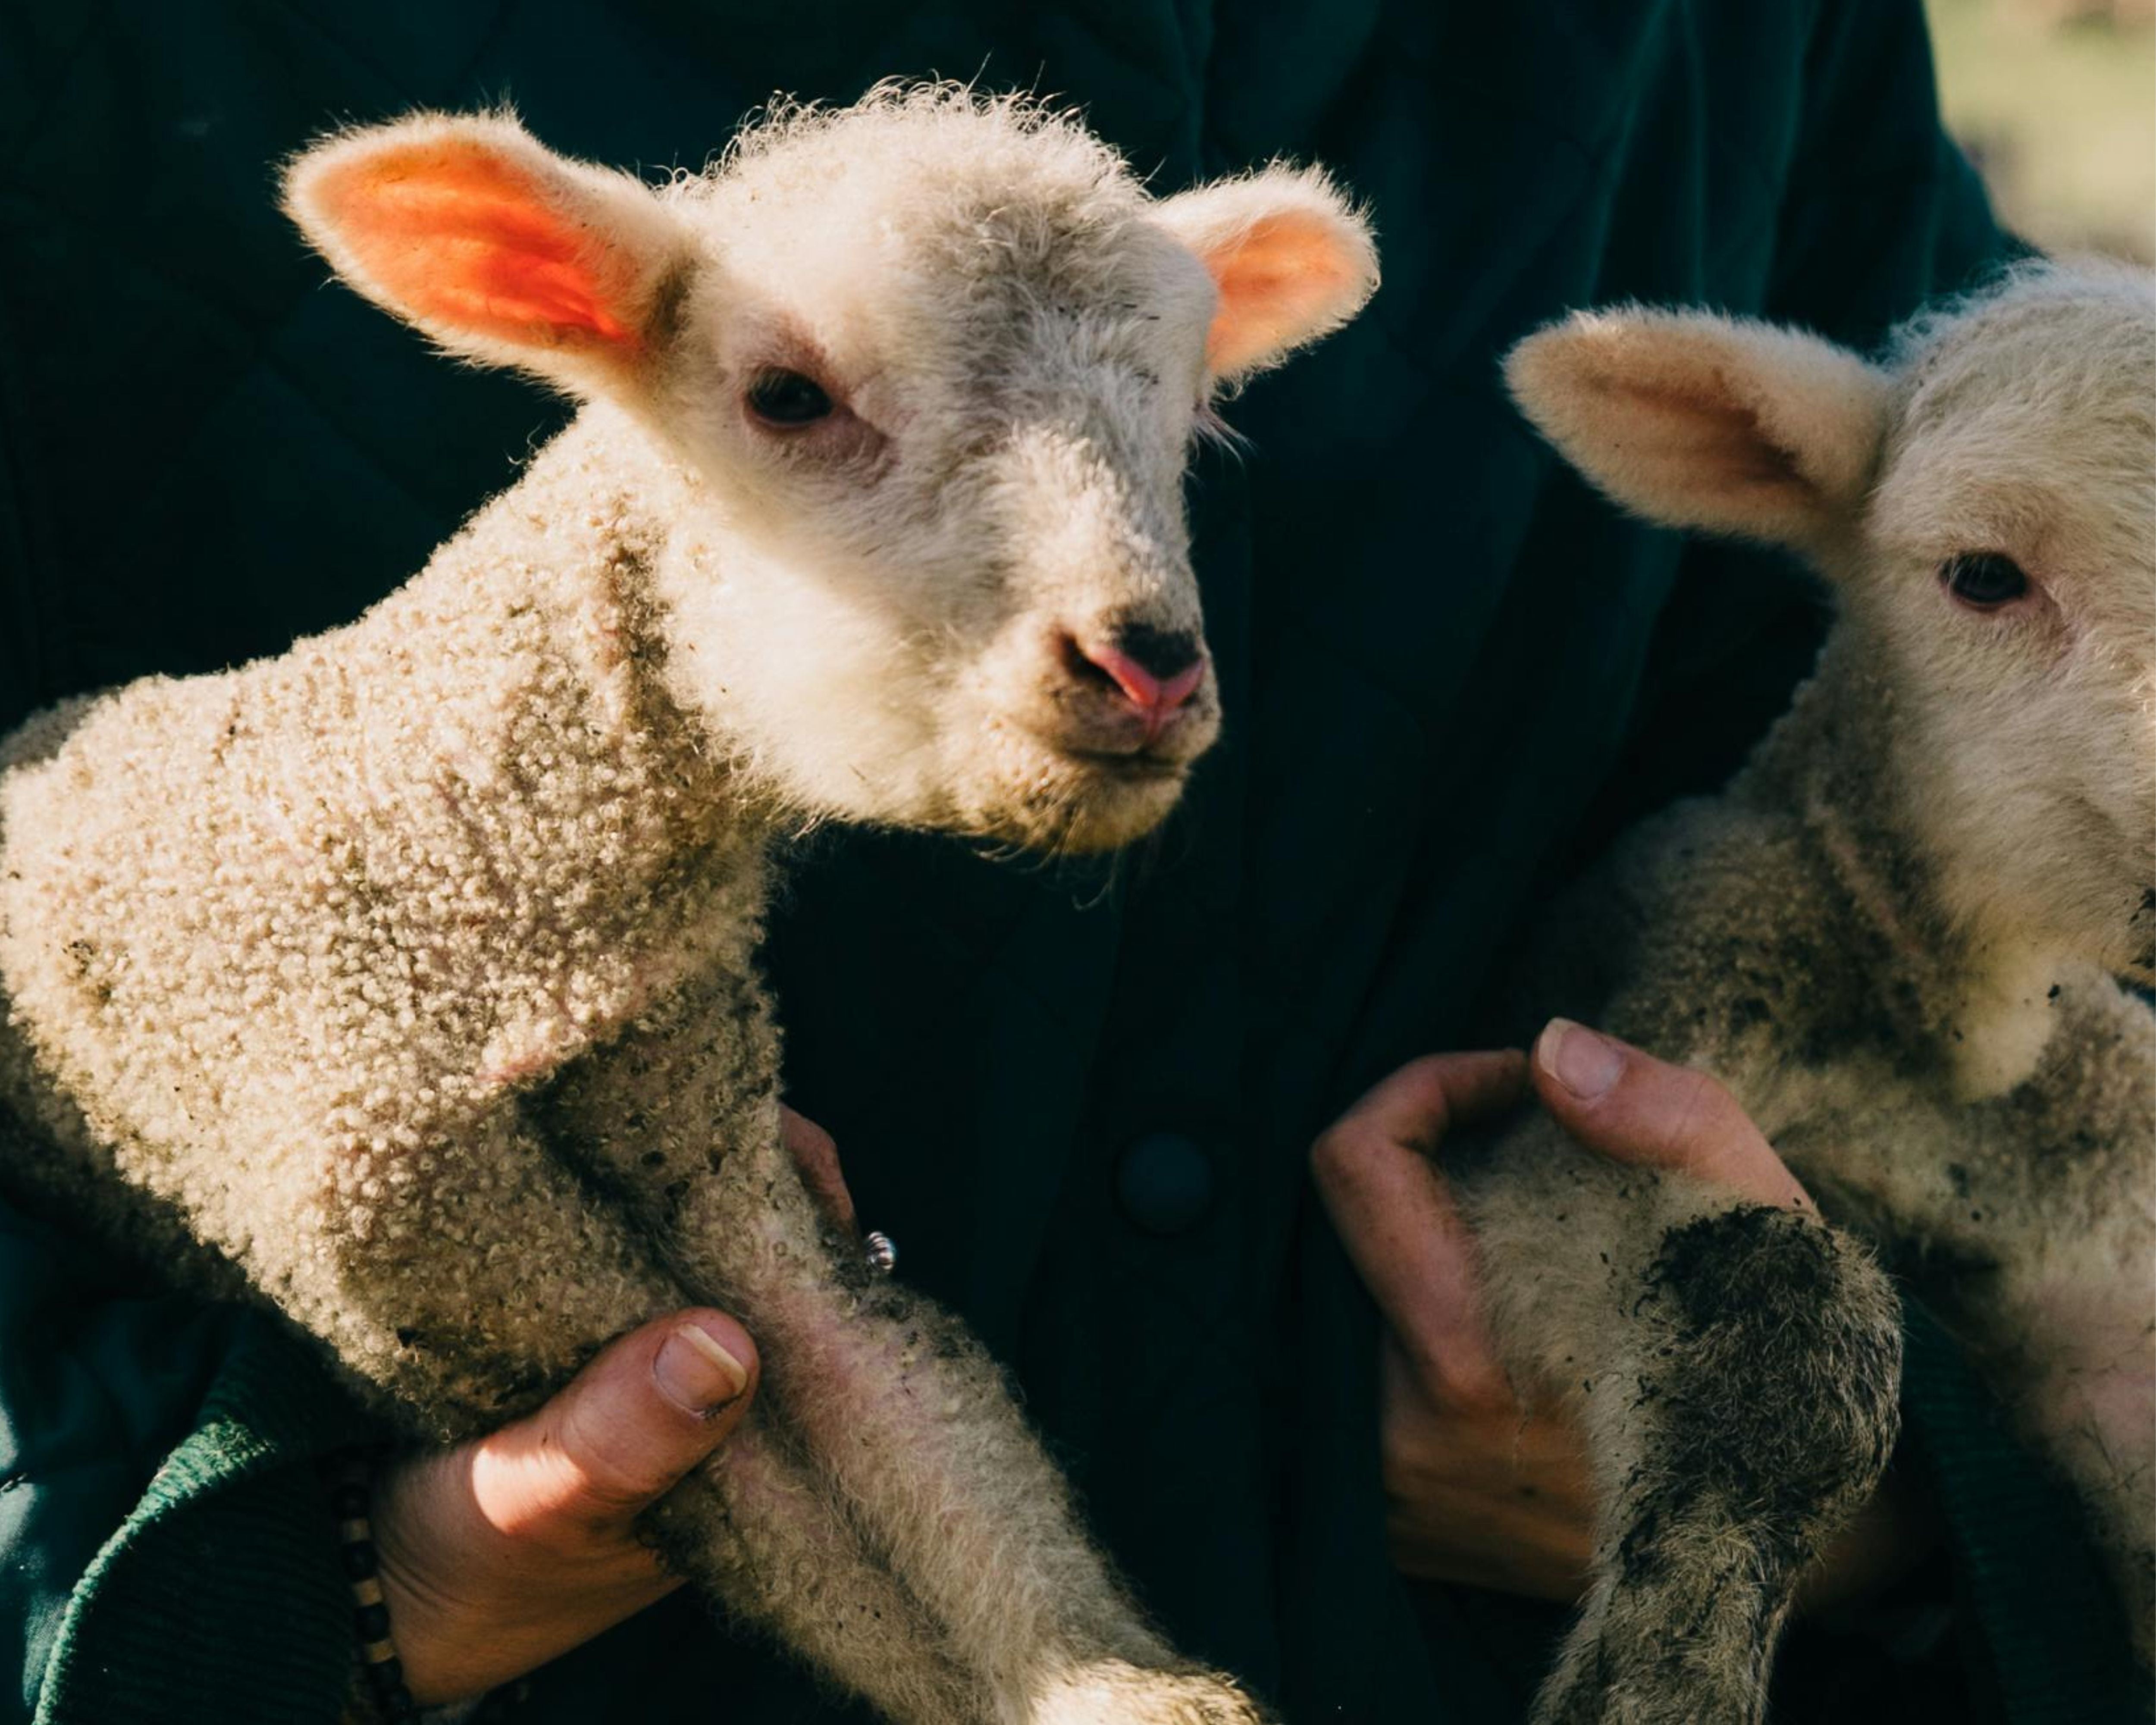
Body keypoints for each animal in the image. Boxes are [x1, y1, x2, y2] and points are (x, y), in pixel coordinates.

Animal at [0, 86, 1377, 1725]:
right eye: (786, 395)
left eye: (1176, 420)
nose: (1148, 665)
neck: (456, 865)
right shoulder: (419, 1246)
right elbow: (774, 1509)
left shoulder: (703, 1129)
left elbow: (904, 1400)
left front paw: (1118, 1688)